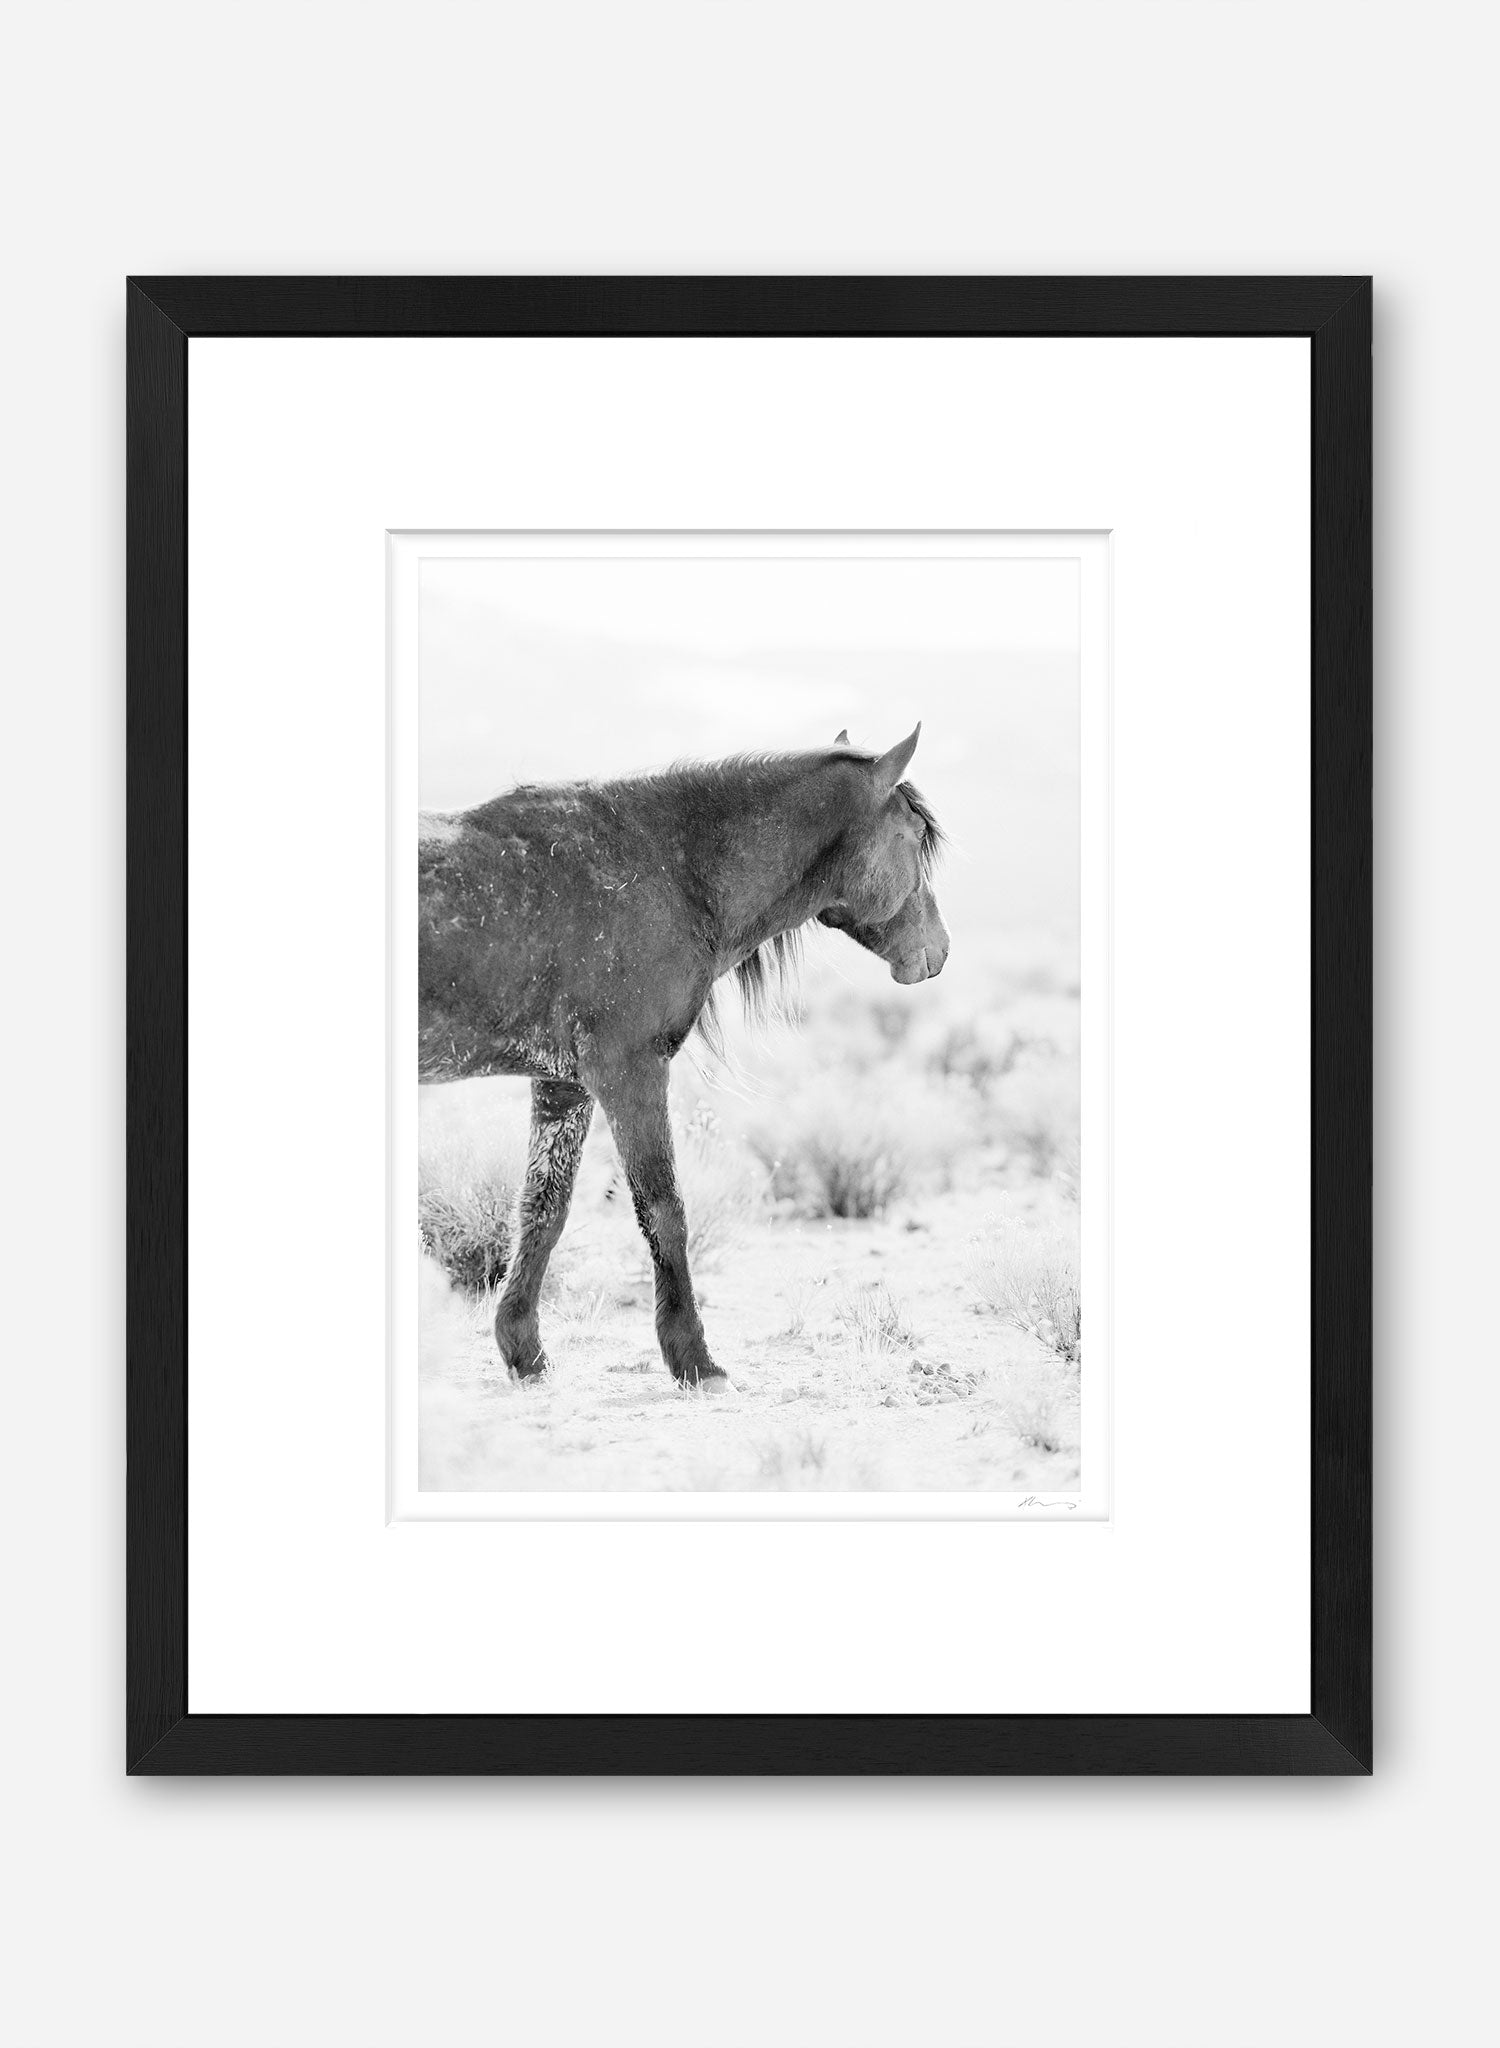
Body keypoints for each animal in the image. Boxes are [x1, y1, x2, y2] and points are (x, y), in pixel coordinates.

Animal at [417, 725, 949, 1389]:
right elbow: (663, 1211)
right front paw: (693, 1357)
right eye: (913, 836)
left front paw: (524, 1352)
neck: (669, 869)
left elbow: (543, 1211)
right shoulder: (630, 1073)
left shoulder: (563, 1084)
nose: (939, 950)